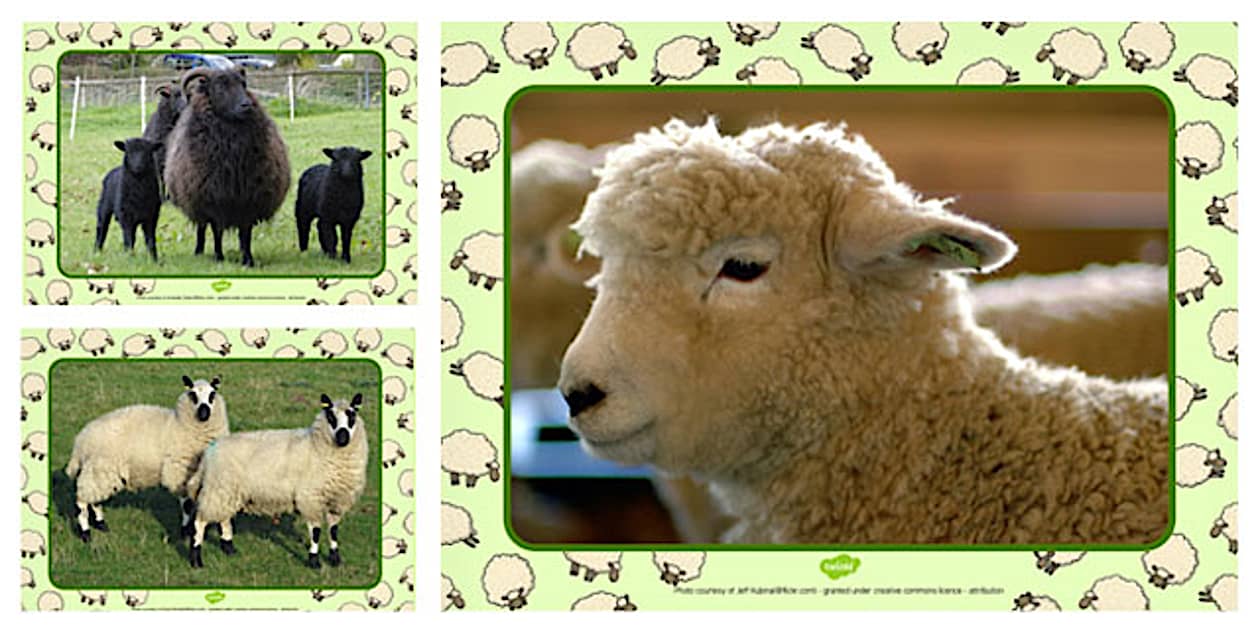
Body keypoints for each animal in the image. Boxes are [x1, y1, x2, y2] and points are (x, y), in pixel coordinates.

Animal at [66, 376, 228, 541]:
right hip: (100, 467)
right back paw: (85, 533)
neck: (182, 425)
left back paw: (101, 524)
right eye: (193, 394)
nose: (204, 413)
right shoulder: (180, 472)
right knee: (82, 502)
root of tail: (81, 440)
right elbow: (187, 505)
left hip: (100, 471)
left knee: (94, 499)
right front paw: (185, 532)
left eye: (212, 394)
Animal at [164, 67, 291, 266]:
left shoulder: (250, 198)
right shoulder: (213, 198)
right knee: (201, 227)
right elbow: (217, 231)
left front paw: (248, 260)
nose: (247, 105)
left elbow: (245, 233)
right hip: (195, 199)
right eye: (219, 86)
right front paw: (219, 257)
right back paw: (199, 252)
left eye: (243, 84)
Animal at [186, 393, 367, 568]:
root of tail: (208, 452)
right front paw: (314, 561)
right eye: (331, 417)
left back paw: (229, 548)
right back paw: (196, 559)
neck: (317, 446)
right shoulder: (311, 498)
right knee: (200, 522)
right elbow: (315, 532)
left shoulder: (337, 500)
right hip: (218, 488)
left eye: (352, 416)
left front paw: (336, 559)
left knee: (223, 518)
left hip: (227, 491)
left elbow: (333, 530)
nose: (343, 437)